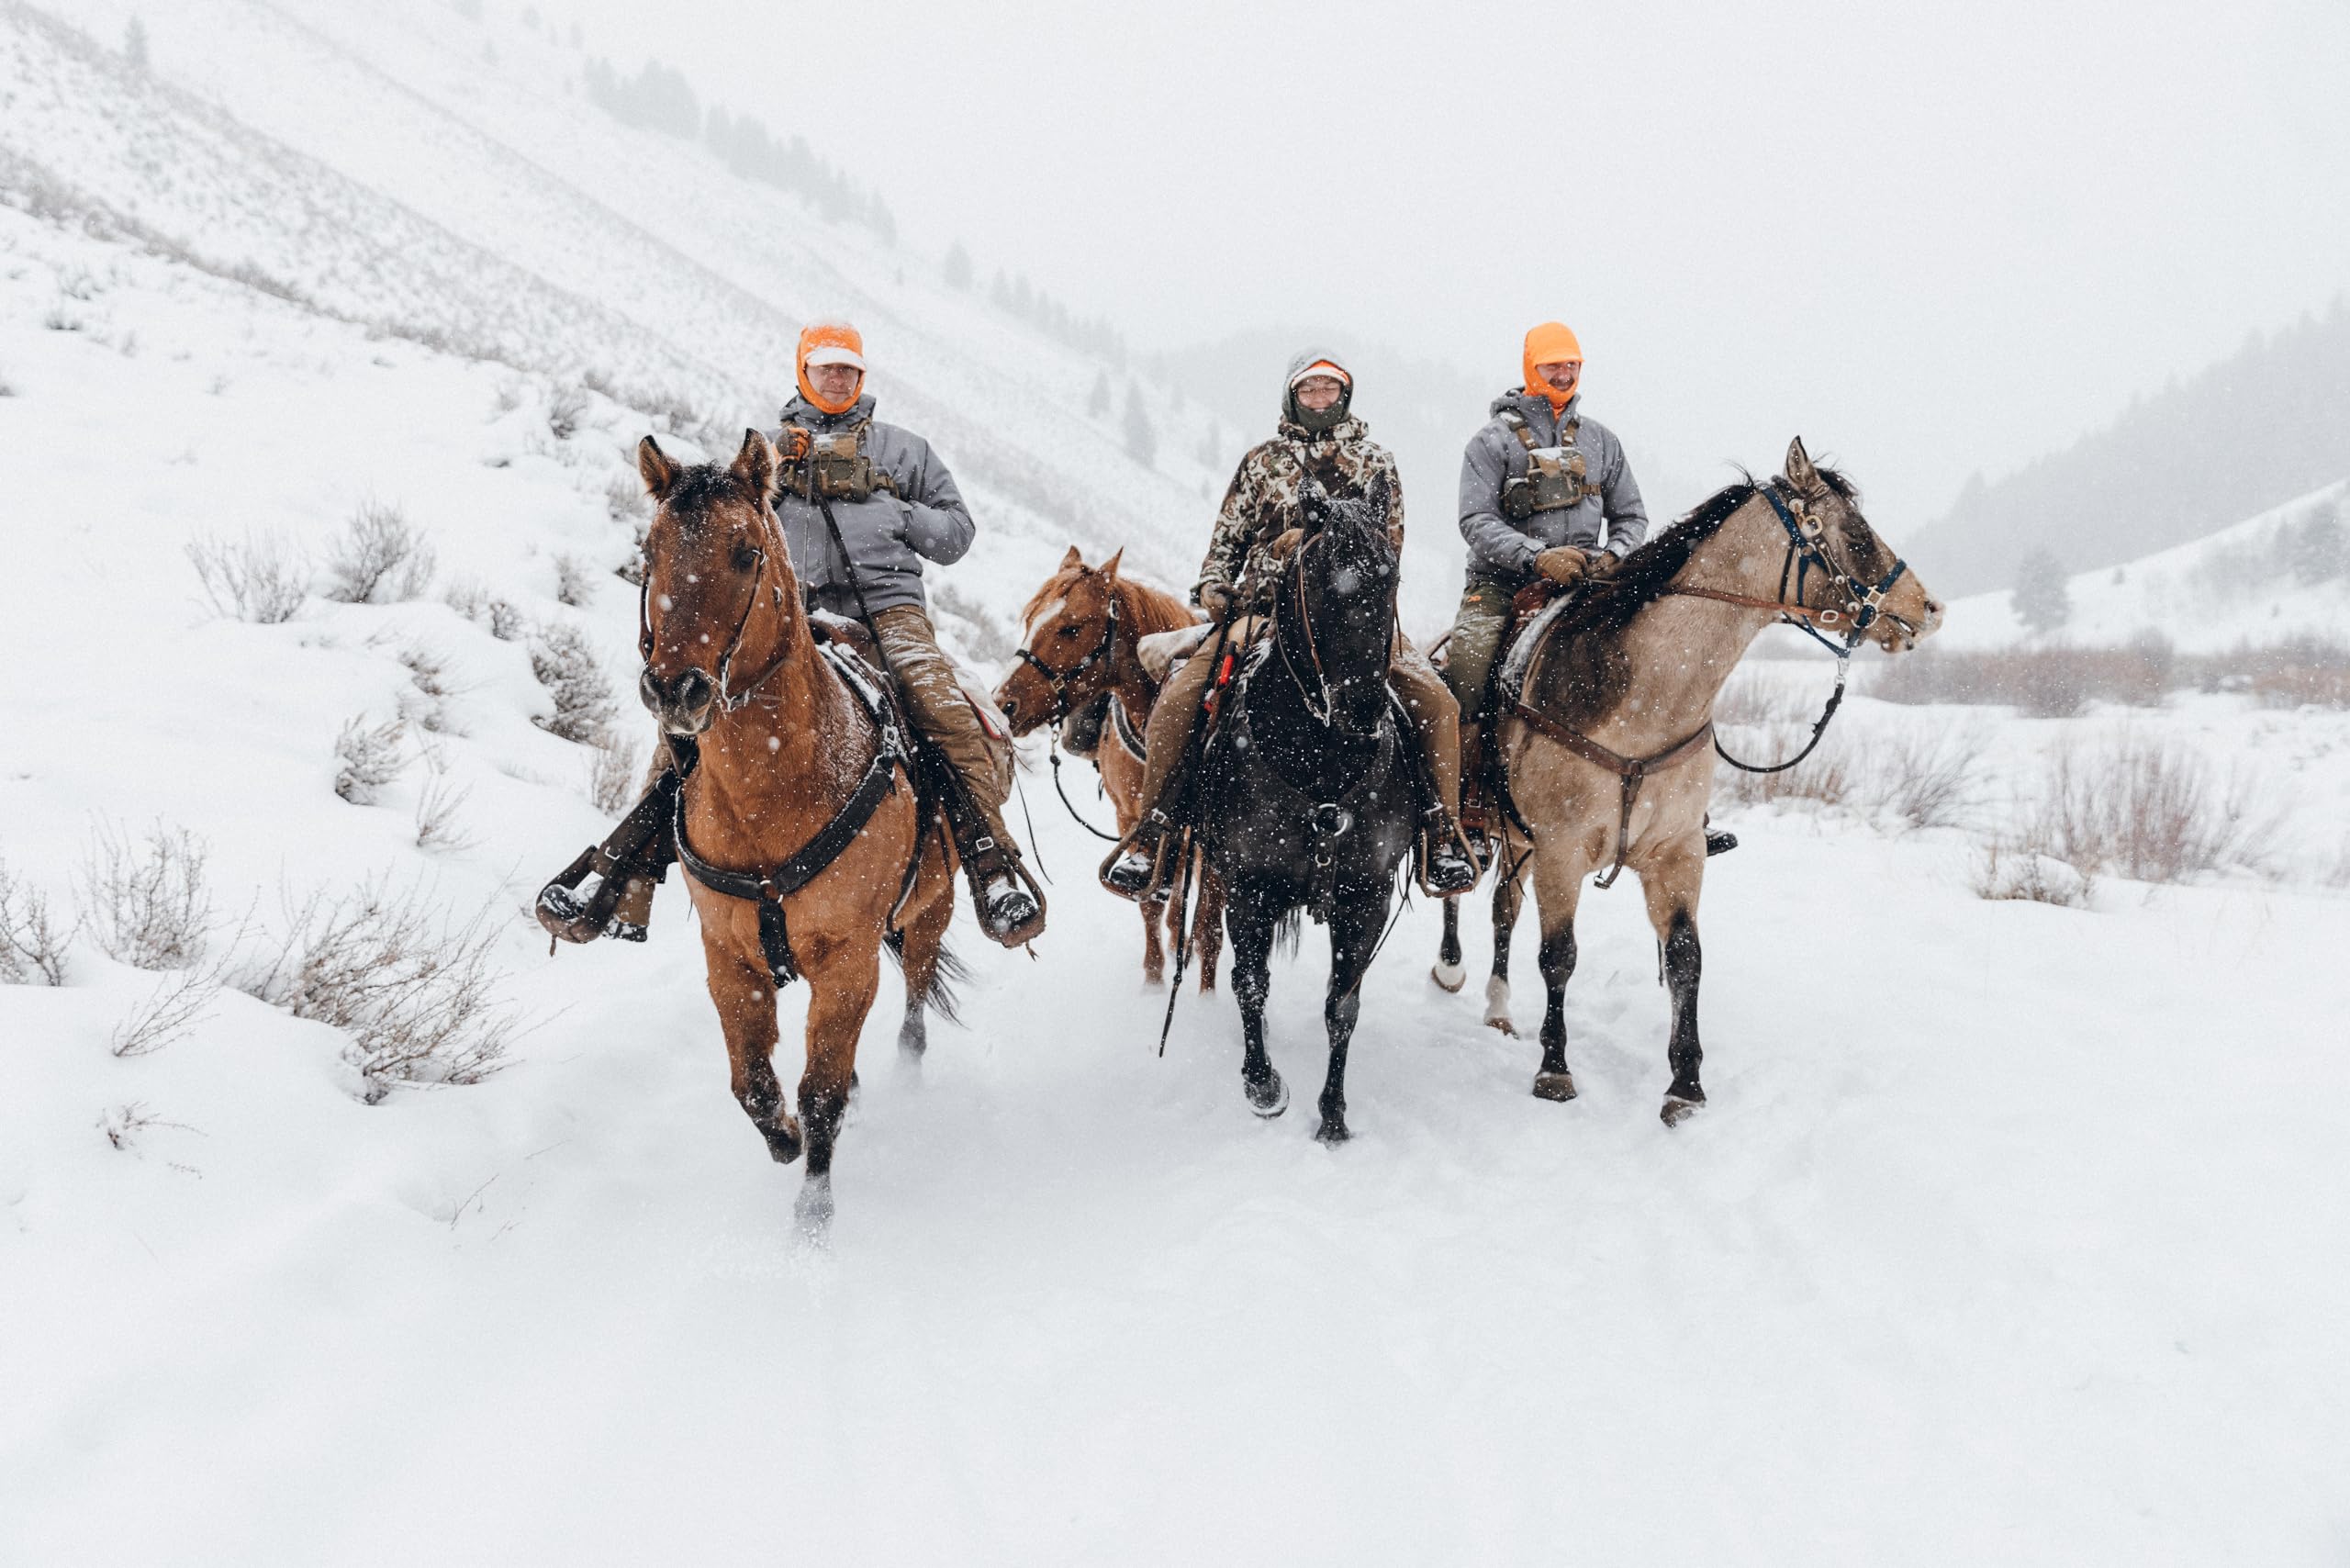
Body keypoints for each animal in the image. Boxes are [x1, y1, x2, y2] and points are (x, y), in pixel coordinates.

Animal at [634, 432, 963, 1241]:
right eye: (650, 549)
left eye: (747, 551)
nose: (676, 689)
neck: (771, 795)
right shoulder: (729, 959)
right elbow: (754, 1086)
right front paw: (784, 1140)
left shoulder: (848, 962)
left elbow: (820, 1094)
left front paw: (813, 1218)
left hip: (928, 914)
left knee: (914, 1013)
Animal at [987, 550, 1231, 991]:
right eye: (1030, 621)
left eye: (1070, 627)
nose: (1003, 703)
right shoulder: (1131, 818)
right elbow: (1151, 904)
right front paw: (1153, 981)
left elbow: (1208, 925)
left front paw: (1204, 993)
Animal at [1193, 484, 1410, 1147]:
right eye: (1319, 580)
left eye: (1392, 577)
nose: (1363, 713)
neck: (1322, 768)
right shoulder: (1249, 885)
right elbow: (1250, 983)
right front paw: (1262, 1084)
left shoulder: (1367, 897)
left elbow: (1343, 1005)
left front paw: (1333, 1115)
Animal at [1447, 442, 1945, 1128]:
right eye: (1856, 535)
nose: (1929, 609)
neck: (1645, 703)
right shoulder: (1561, 851)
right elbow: (1559, 956)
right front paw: (1554, 1069)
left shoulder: (1677, 853)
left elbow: (1685, 958)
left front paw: (1685, 1085)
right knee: (1486, 904)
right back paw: (1464, 980)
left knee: (1503, 907)